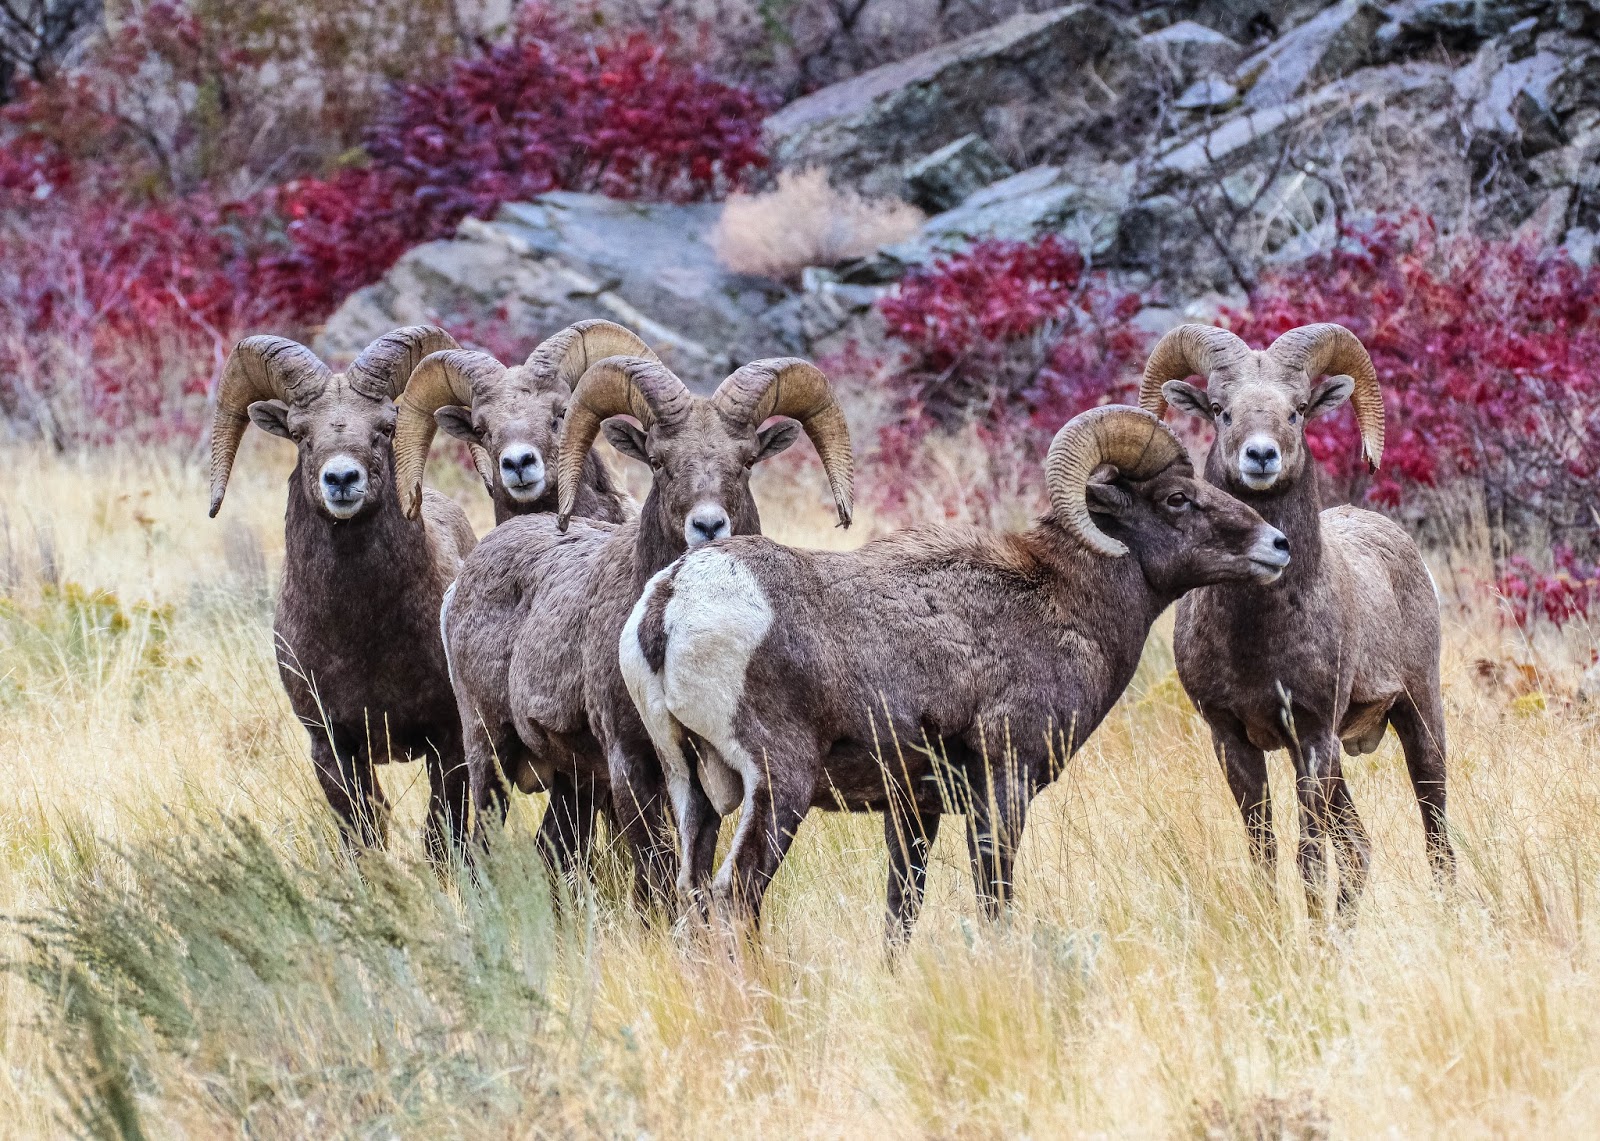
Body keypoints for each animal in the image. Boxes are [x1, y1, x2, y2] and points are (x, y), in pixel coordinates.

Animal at [208, 326, 477, 863]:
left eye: (386, 427)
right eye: (298, 433)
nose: (341, 479)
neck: (363, 639)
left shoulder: (449, 742)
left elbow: (443, 839)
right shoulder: (333, 748)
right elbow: (364, 838)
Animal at [442, 353, 854, 903]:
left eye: (747, 461)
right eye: (658, 462)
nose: (708, 526)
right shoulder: (629, 764)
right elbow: (652, 875)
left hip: (571, 782)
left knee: (552, 851)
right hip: (489, 749)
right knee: (481, 845)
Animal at [620, 405, 1291, 939]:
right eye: (1178, 498)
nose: (1277, 545)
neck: (1063, 602)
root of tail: (670, 602)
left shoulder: (914, 808)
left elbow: (900, 915)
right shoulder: (1003, 784)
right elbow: (994, 904)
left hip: (690, 789)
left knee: (691, 900)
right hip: (778, 786)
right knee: (732, 899)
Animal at [1138, 322, 1454, 917]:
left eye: (1298, 410)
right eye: (1221, 410)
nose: (1260, 457)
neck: (1255, 637)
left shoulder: (1312, 735)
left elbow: (1309, 854)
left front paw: (1310, 929)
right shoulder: (1233, 740)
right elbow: (1264, 848)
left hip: (1419, 718)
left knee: (1435, 833)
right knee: (1358, 849)